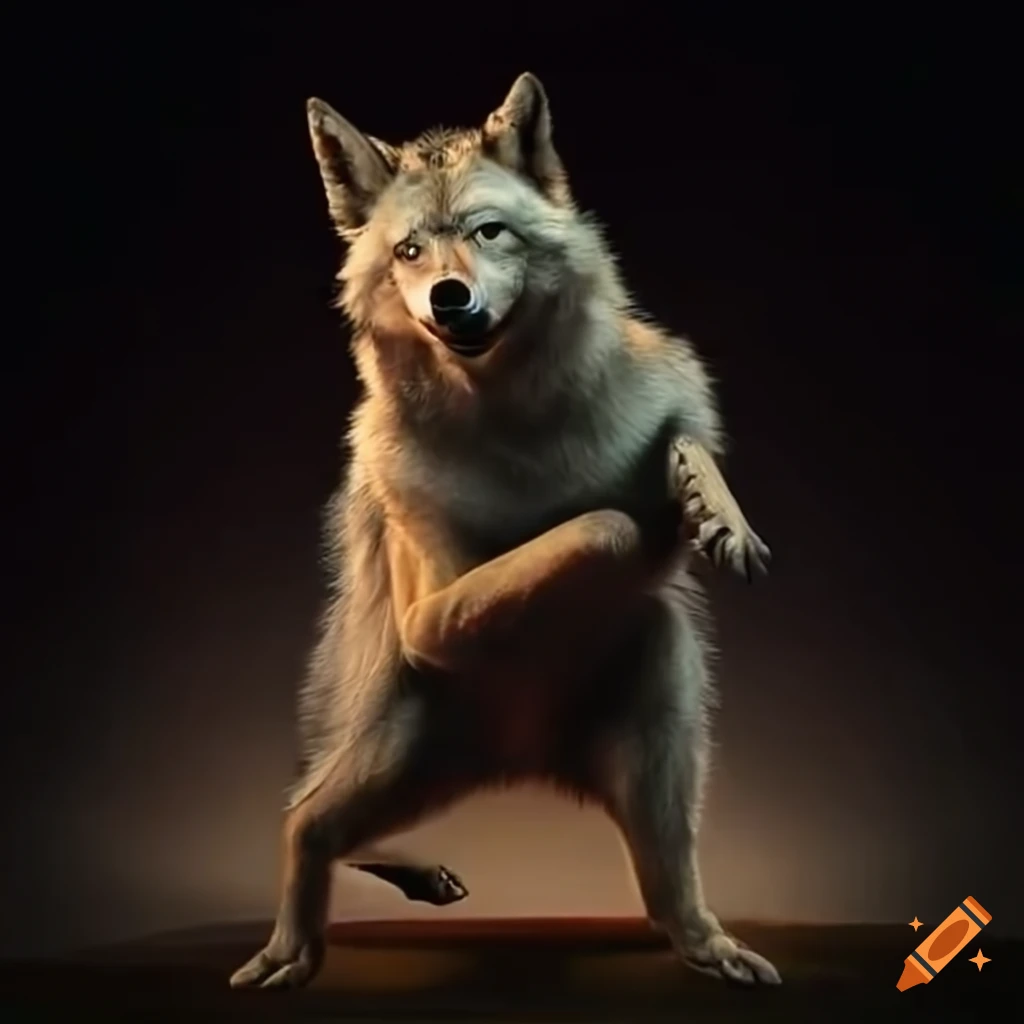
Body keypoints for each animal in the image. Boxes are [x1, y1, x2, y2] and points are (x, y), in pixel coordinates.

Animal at [230, 73, 780, 990]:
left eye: (489, 233)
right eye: (411, 252)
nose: (450, 296)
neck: (518, 423)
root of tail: (520, 760)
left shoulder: (664, 399)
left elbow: (685, 446)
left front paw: (713, 514)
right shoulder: (433, 611)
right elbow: (601, 526)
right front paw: (646, 531)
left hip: (659, 750)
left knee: (668, 889)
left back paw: (712, 947)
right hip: (390, 762)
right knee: (301, 819)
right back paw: (291, 951)